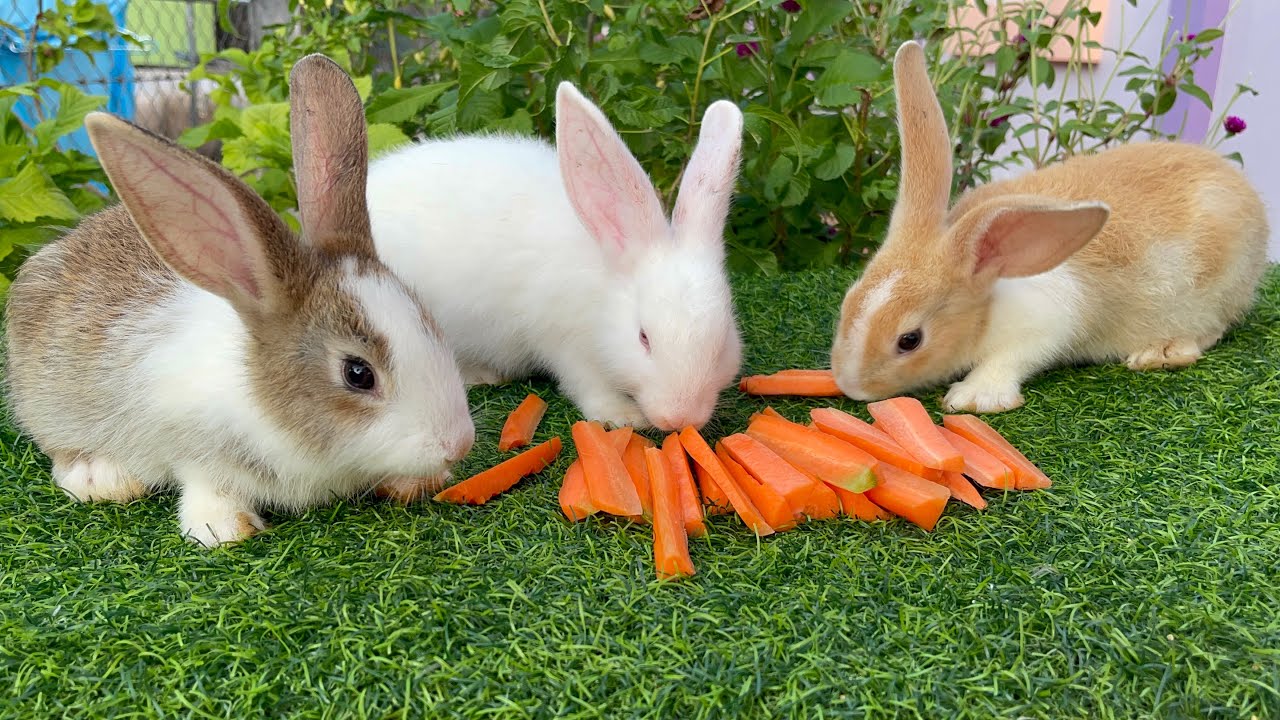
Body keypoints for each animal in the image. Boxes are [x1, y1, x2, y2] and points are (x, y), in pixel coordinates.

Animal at [2, 54, 475, 548]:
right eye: (357, 373)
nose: (458, 444)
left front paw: (411, 484)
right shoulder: (194, 448)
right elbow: (207, 486)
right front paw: (226, 530)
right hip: (47, 402)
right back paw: (103, 479)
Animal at [366, 81, 745, 431]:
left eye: (723, 340)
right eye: (643, 338)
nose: (681, 417)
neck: (604, 289)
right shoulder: (565, 344)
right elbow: (587, 384)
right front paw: (622, 416)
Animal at [831, 41, 1270, 414]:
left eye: (910, 340)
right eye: (848, 300)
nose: (852, 386)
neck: (991, 292)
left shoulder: (1044, 326)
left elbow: (1011, 358)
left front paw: (974, 398)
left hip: (1216, 293)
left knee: (1213, 330)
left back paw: (1160, 354)